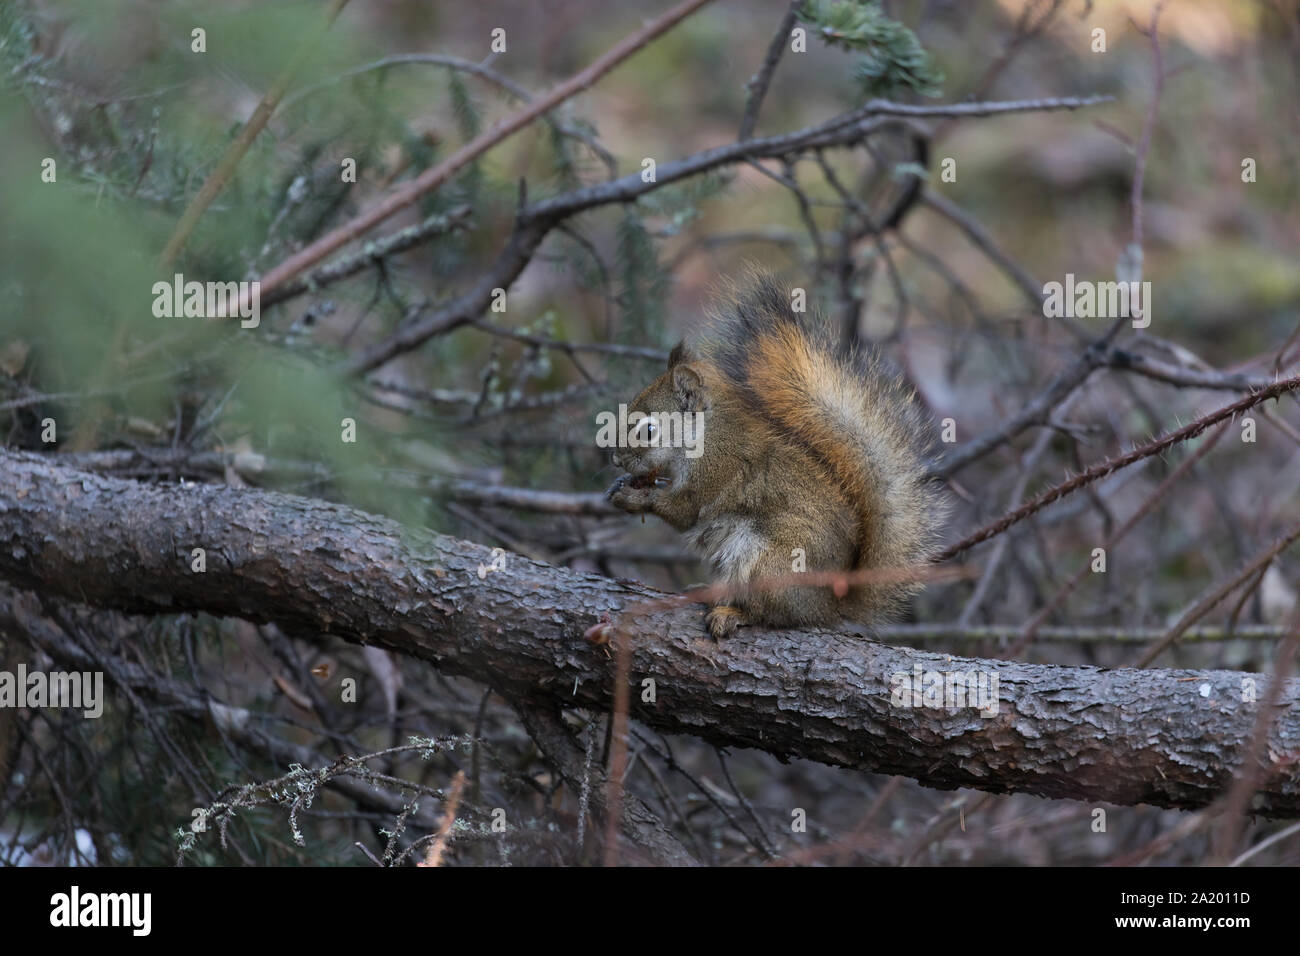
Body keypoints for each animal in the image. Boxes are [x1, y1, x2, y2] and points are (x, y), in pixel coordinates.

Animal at [605, 273, 944, 640]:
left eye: (648, 430)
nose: (616, 459)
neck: (705, 433)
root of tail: (829, 605)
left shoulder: (717, 469)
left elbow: (683, 509)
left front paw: (633, 498)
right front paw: (621, 484)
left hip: (770, 564)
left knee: (767, 614)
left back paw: (730, 613)